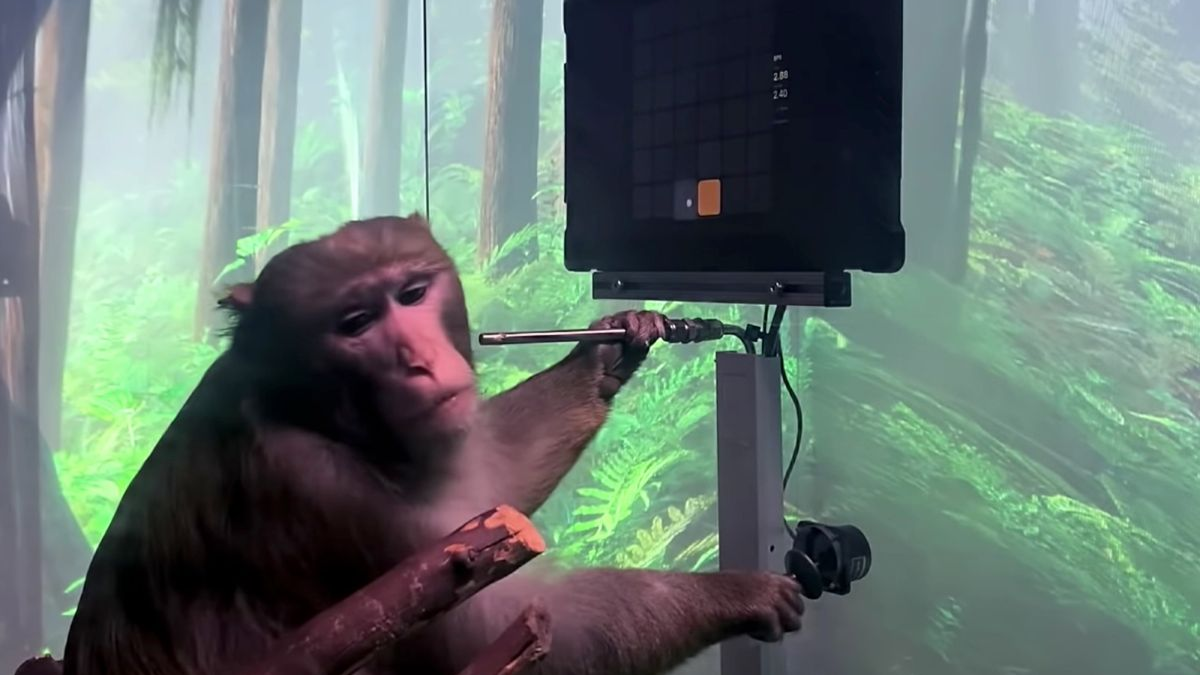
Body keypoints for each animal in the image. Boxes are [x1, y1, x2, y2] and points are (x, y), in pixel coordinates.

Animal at [60, 214, 804, 675]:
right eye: (356, 322)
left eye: (414, 292)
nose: (419, 360)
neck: (302, 401)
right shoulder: (317, 487)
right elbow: (514, 628)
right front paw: (735, 592)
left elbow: (490, 478)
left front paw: (608, 351)